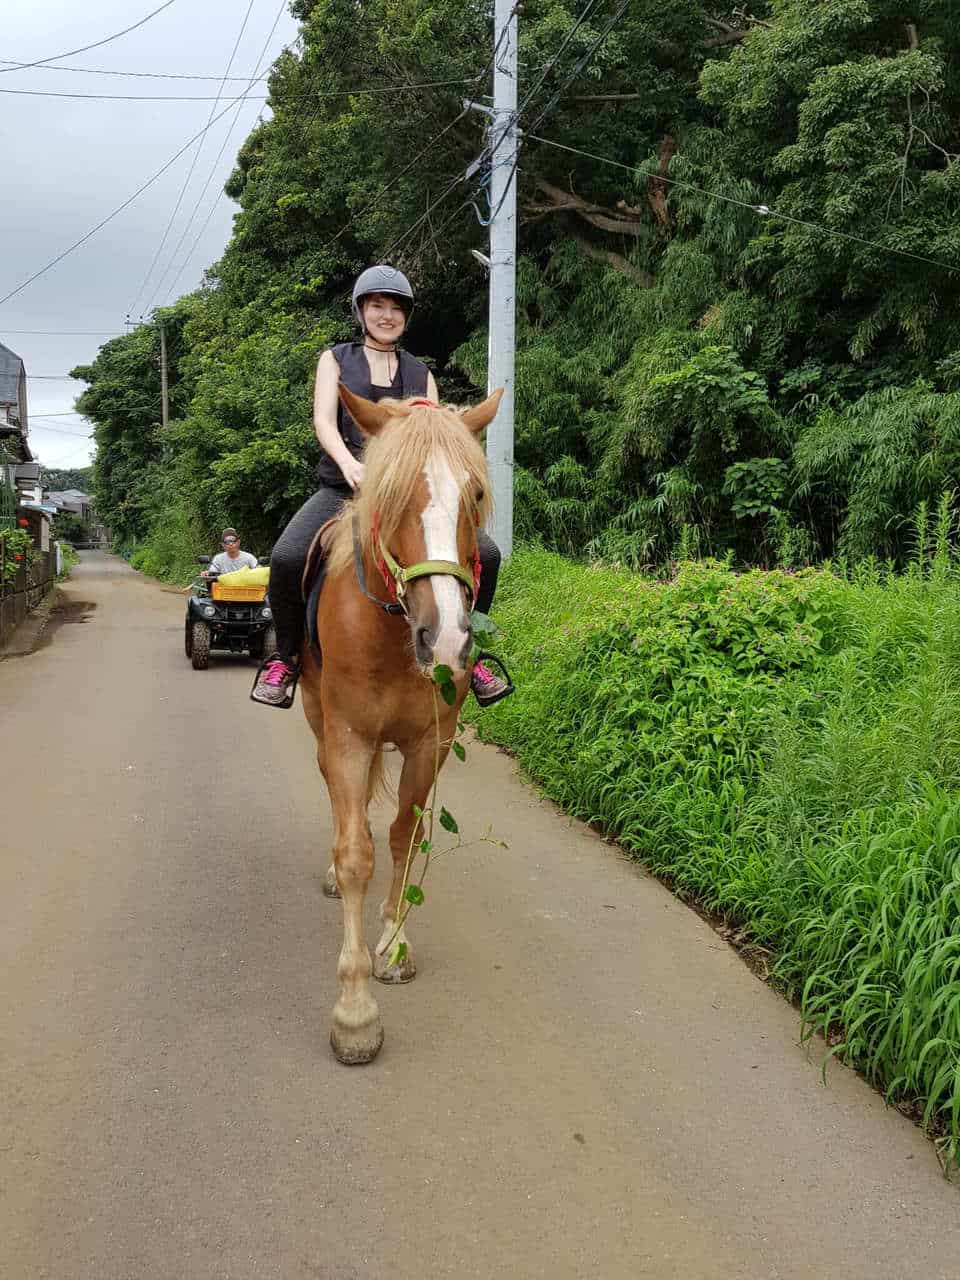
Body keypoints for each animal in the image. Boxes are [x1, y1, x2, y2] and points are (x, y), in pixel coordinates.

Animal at [300, 383, 503, 1064]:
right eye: (389, 497)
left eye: (475, 493)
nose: (446, 641)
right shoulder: (348, 738)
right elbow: (356, 853)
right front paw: (355, 1011)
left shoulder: (428, 743)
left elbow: (403, 838)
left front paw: (393, 943)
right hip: (318, 718)